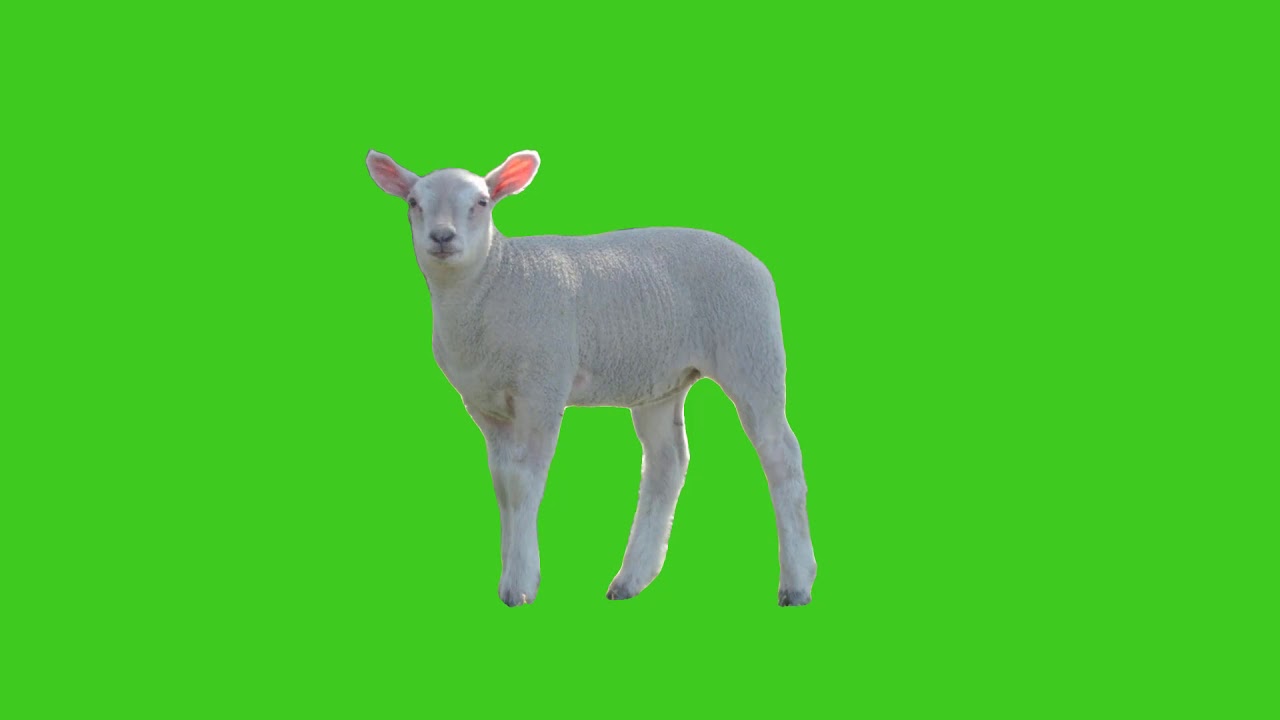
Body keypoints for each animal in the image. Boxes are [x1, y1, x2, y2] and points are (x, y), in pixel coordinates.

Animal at [365, 149, 817, 606]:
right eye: (413, 203)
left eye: (482, 202)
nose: (442, 236)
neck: (496, 280)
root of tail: (753, 260)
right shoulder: (485, 406)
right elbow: (503, 486)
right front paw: (510, 573)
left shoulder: (542, 388)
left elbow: (524, 484)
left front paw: (520, 585)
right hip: (660, 378)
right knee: (667, 462)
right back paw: (631, 579)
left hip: (752, 351)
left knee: (781, 456)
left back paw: (797, 583)